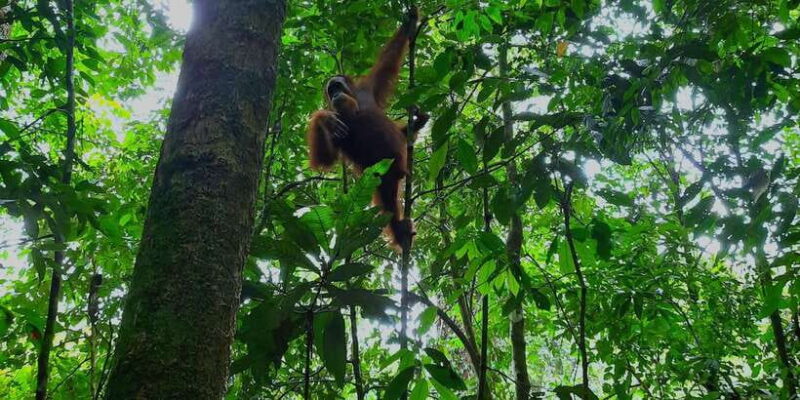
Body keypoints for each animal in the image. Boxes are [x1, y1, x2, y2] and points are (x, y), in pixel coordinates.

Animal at [306, 7, 428, 250]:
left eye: (337, 86)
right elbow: (323, 159)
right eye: (330, 90)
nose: (335, 94)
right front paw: (324, 118)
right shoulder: (338, 135)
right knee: (388, 206)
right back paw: (401, 232)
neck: (353, 111)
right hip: (380, 179)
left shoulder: (367, 88)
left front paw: (410, 20)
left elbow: (387, 62)